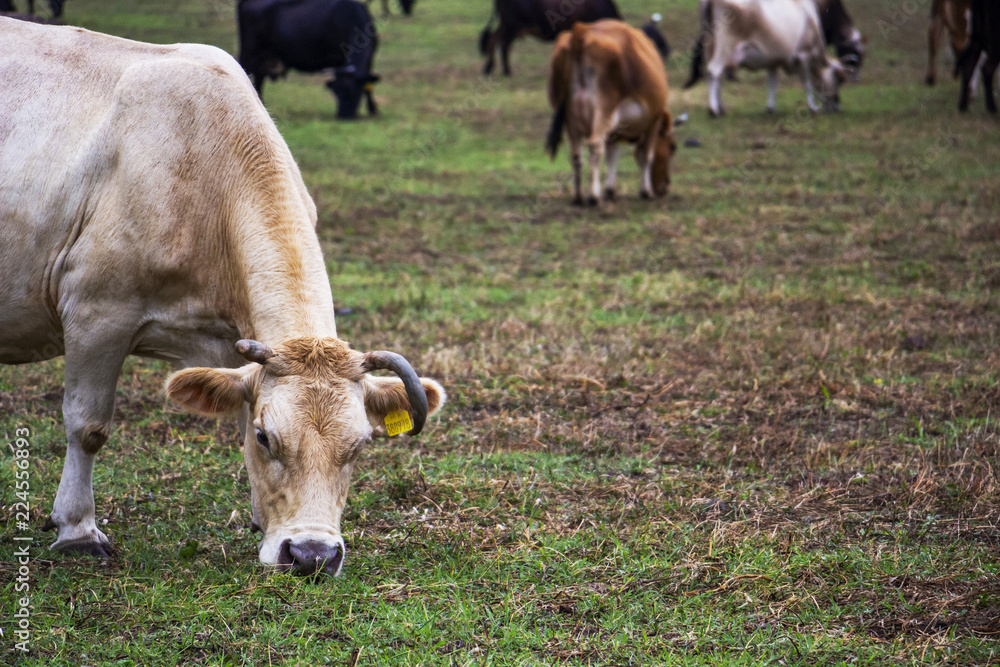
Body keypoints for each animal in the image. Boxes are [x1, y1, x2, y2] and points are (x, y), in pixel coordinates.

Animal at [0, 17, 445, 576]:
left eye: (361, 445)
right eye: (267, 436)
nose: (312, 555)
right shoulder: (96, 314)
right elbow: (88, 426)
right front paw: (77, 529)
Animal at [237, 0, 381, 120]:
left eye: (353, 91)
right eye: (337, 92)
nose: (343, 116)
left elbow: (368, 85)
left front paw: (373, 109)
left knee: (259, 78)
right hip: (249, 53)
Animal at [479, 0, 622, 76]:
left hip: (506, 26)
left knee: (492, 39)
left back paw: (488, 69)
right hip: (511, 26)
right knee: (503, 46)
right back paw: (507, 72)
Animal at [546, 20, 676, 206]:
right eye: (672, 147)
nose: (665, 187)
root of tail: (582, 31)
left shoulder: (615, 129)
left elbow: (612, 154)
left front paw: (610, 190)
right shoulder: (654, 120)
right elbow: (646, 155)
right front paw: (646, 191)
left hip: (570, 117)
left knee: (577, 154)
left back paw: (578, 197)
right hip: (603, 109)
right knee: (594, 145)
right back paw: (594, 197)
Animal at [684, 0, 849, 116]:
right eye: (838, 79)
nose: (838, 106)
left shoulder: (772, 60)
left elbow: (772, 82)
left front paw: (770, 107)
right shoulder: (804, 54)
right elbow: (806, 83)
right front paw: (813, 107)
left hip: (711, 46)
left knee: (716, 76)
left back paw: (721, 107)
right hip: (726, 44)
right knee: (714, 71)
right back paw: (714, 110)